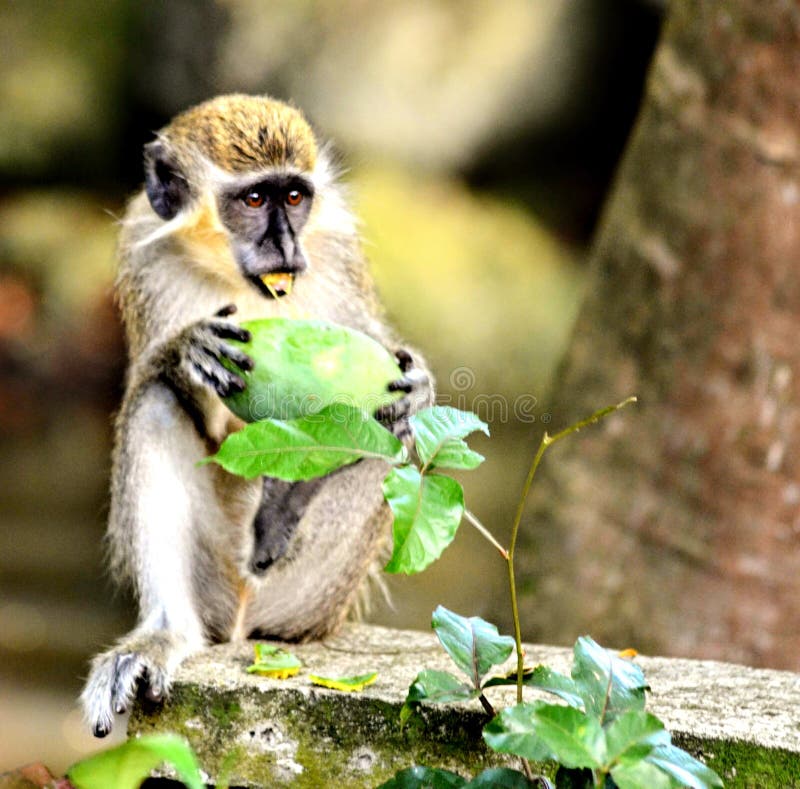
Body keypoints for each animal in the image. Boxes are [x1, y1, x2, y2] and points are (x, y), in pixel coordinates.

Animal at [80, 94, 433, 737]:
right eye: (252, 200)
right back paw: (166, 633)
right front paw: (187, 349)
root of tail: (249, 622)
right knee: (157, 402)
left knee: (389, 430)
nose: (287, 247)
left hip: (309, 598)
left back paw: (283, 512)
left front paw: (417, 381)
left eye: (293, 197)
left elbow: (380, 355)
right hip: (218, 584)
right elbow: (150, 376)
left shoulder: (337, 250)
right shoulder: (143, 249)